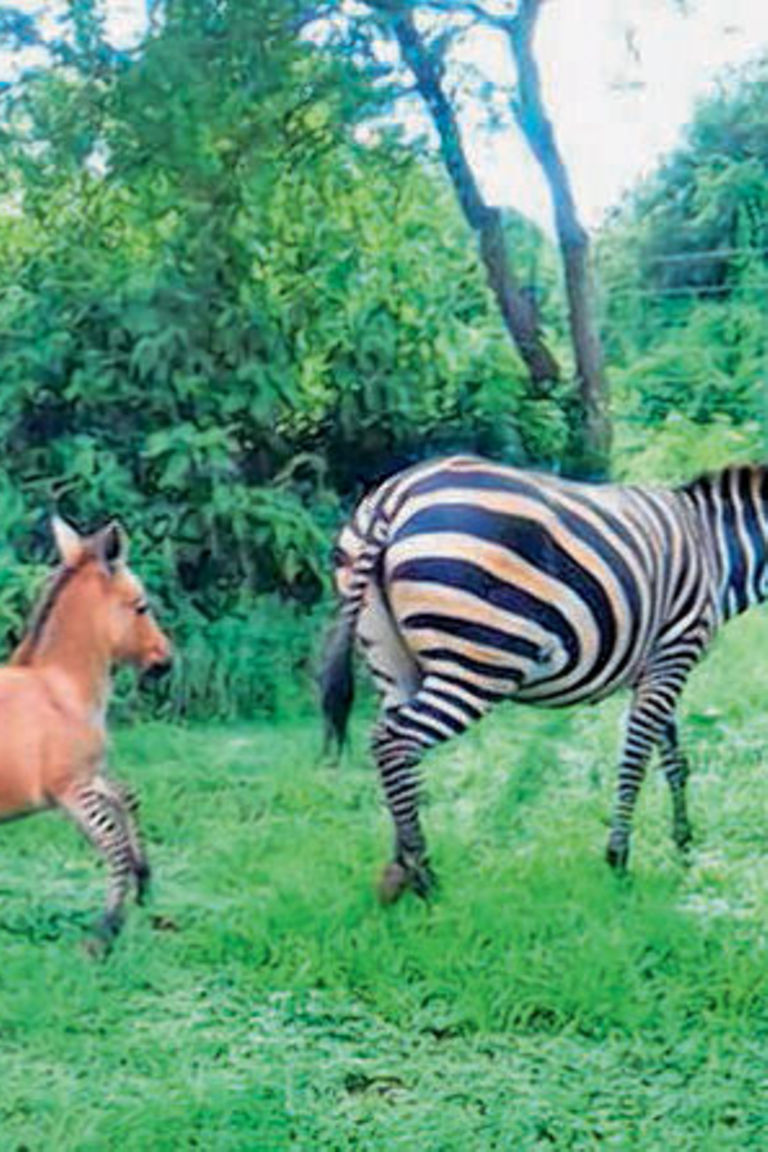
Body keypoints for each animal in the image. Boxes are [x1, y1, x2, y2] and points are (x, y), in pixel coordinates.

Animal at [321, 454, 768, 903]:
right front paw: (619, 861)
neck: (715, 550)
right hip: (477, 663)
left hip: (391, 661)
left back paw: (398, 873)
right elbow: (637, 758)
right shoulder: (674, 654)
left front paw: (683, 848)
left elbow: (674, 760)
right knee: (394, 741)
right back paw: (425, 880)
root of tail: (394, 496)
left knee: (397, 754)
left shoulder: (653, 667)